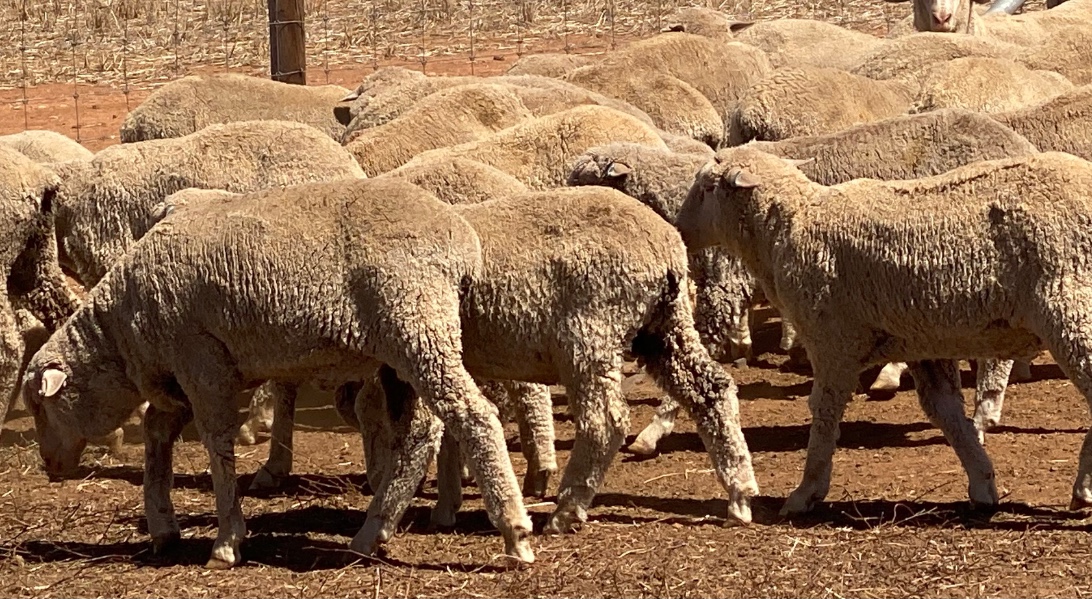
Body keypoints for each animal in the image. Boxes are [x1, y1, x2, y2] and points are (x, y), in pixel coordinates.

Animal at [20, 176, 536, 568]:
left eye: (42, 406)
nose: (49, 466)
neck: (122, 327)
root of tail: (462, 239)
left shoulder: (201, 362)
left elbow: (217, 444)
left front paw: (227, 542)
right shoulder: (175, 382)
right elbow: (156, 437)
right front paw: (163, 526)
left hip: (415, 321)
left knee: (473, 415)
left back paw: (514, 532)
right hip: (405, 347)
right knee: (419, 432)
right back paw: (373, 532)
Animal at [674, 147, 1092, 518]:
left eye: (706, 187)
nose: (678, 230)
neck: (791, 225)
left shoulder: (832, 341)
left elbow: (824, 411)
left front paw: (806, 492)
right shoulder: (922, 343)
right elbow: (946, 413)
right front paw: (982, 482)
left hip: (1070, 308)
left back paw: (1083, 489)